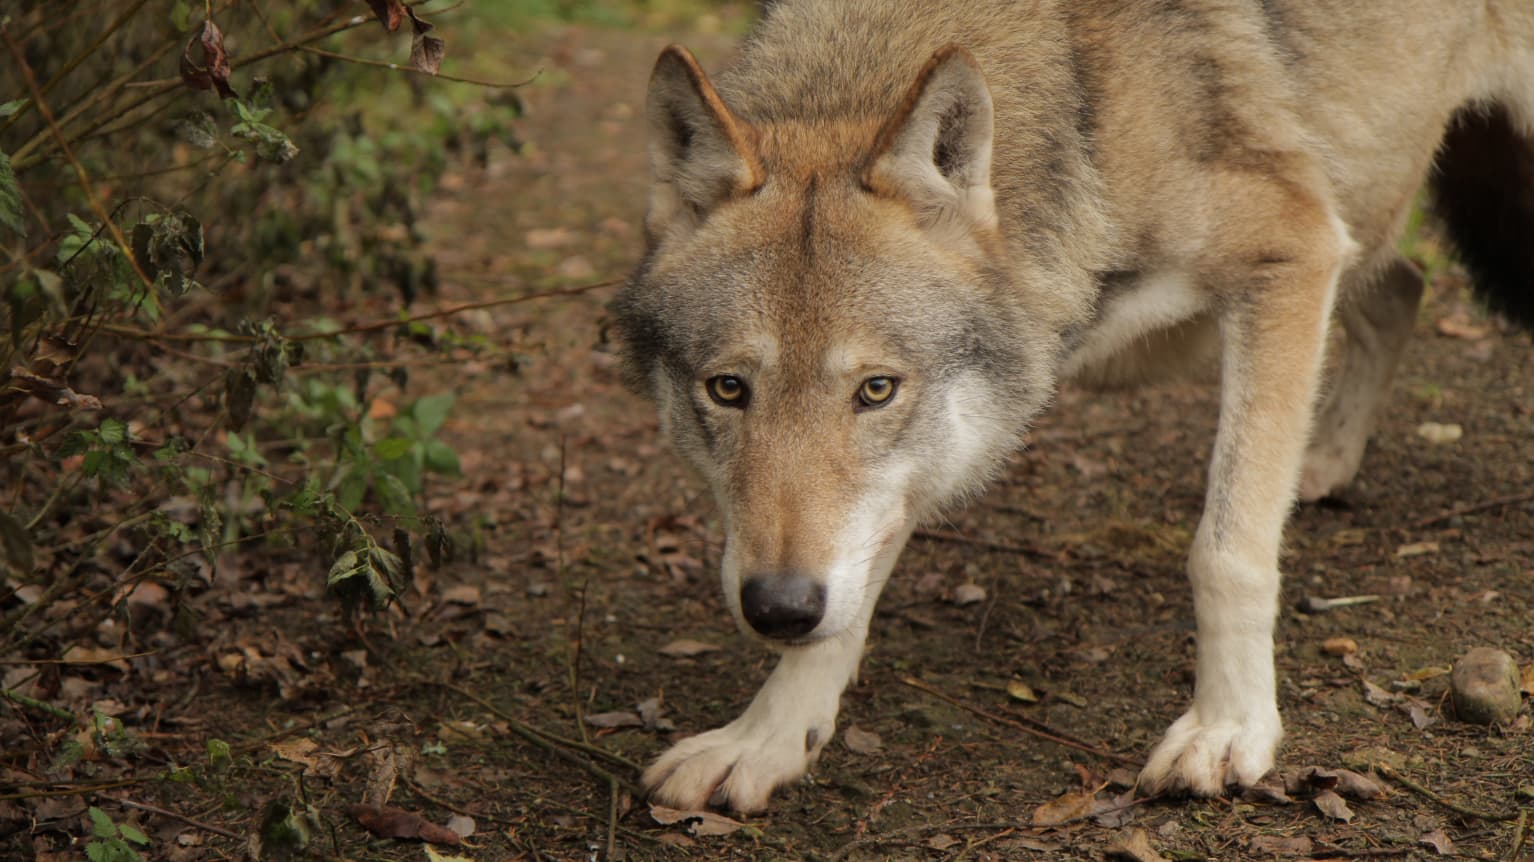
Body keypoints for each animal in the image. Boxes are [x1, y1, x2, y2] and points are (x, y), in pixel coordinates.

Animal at [611, 0, 1534, 814]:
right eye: (728, 389)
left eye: (875, 390)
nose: (776, 608)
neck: (1086, 116)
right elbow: (849, 598)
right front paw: (765, 738)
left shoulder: (1291, 252)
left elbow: (1226, 551)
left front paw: (1229, 729)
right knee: (1403, 289)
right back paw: (1327, 462)